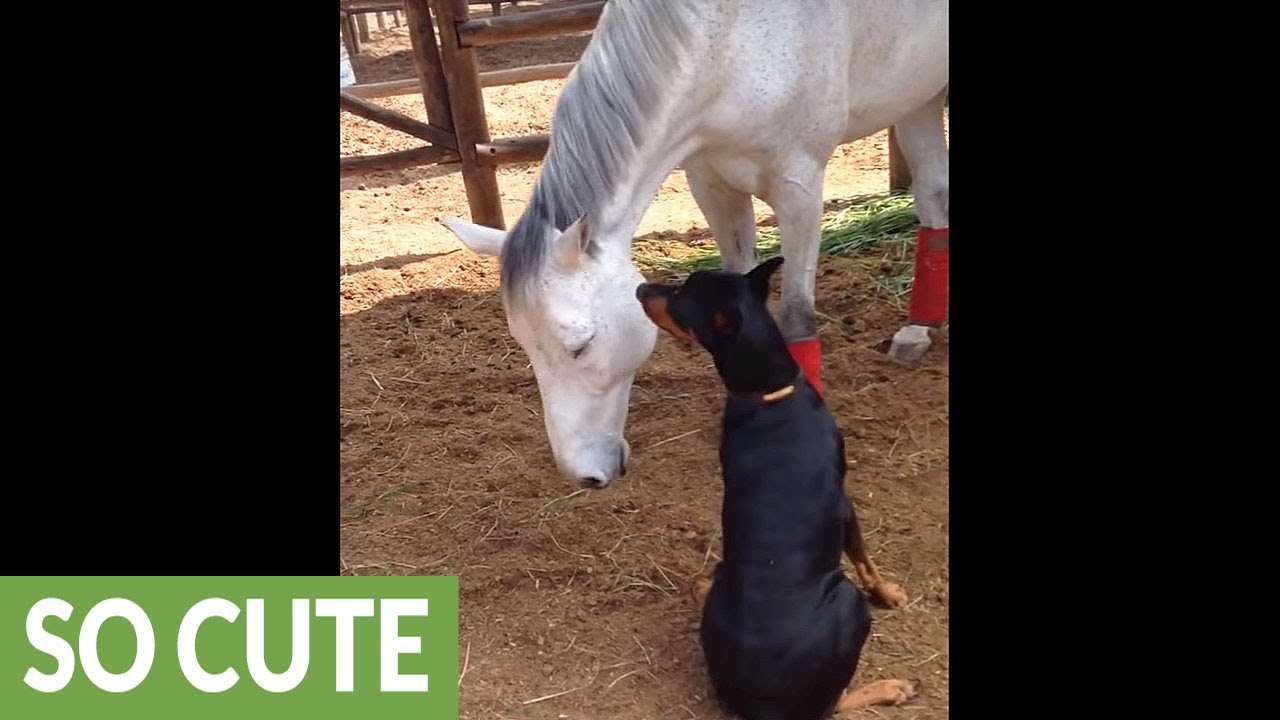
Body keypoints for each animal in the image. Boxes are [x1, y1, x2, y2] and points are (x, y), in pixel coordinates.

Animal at [445, 0, 949, 489]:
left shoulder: (799, 186)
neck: (726, 39)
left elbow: (797, 318)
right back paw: (918, 329)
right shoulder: (710, 182)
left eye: (580, 346)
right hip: (920, 96)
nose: (582, 475)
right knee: (933, 194)